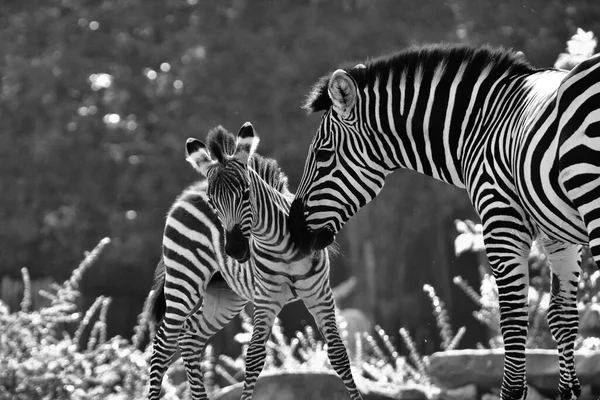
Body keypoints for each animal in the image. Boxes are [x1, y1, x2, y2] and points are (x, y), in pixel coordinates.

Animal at [188, 122, 364, 400]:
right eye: (212, 202)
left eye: (246, 193)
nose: (235, 250)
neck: (279, 244)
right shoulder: (266, 299)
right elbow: (254, 357)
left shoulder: (320, 294)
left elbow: (338, 352)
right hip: (184, 278)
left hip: (224, 298)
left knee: (188, 336)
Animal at [288, 42, 600, 398]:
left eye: (322, 154)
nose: (293, 228)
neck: (480, 124)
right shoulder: (559, 237)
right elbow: (562, 319)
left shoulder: (501, 221)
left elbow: (511, 324)